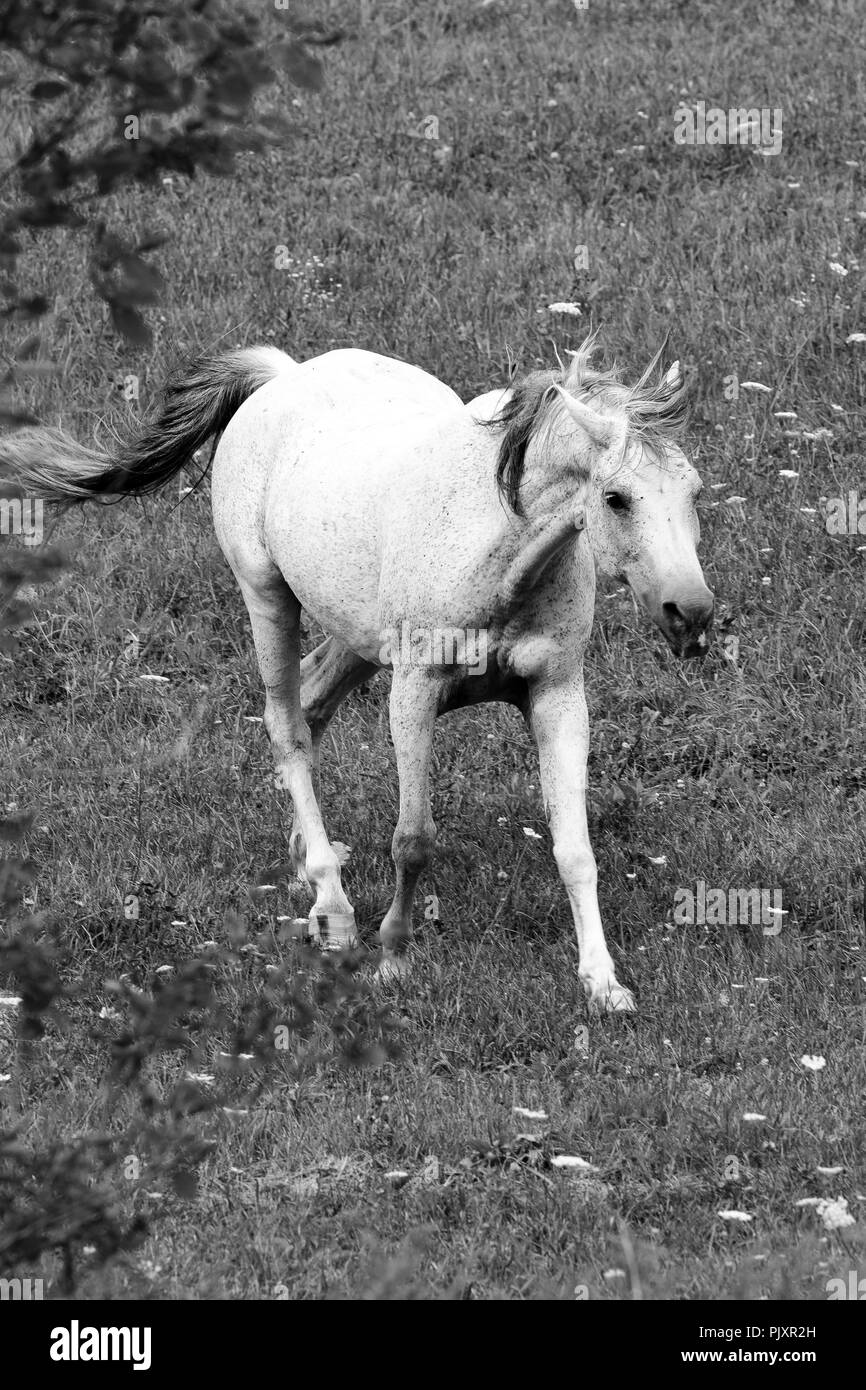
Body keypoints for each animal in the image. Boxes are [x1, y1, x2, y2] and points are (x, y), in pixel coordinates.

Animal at [0, 333, 714, 1013]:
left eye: (694, 491)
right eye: (616, 498)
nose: (693, 613)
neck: (492, 545)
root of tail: (283, 374)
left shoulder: (558, 694)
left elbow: (575, 848)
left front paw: (603, 983)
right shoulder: (413, 692)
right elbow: (414, 840)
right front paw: (392, 957)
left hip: (355, 638)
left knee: (313, 700)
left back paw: (306, 868)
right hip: (267, 599)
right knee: (287, 726)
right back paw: (332, 908)